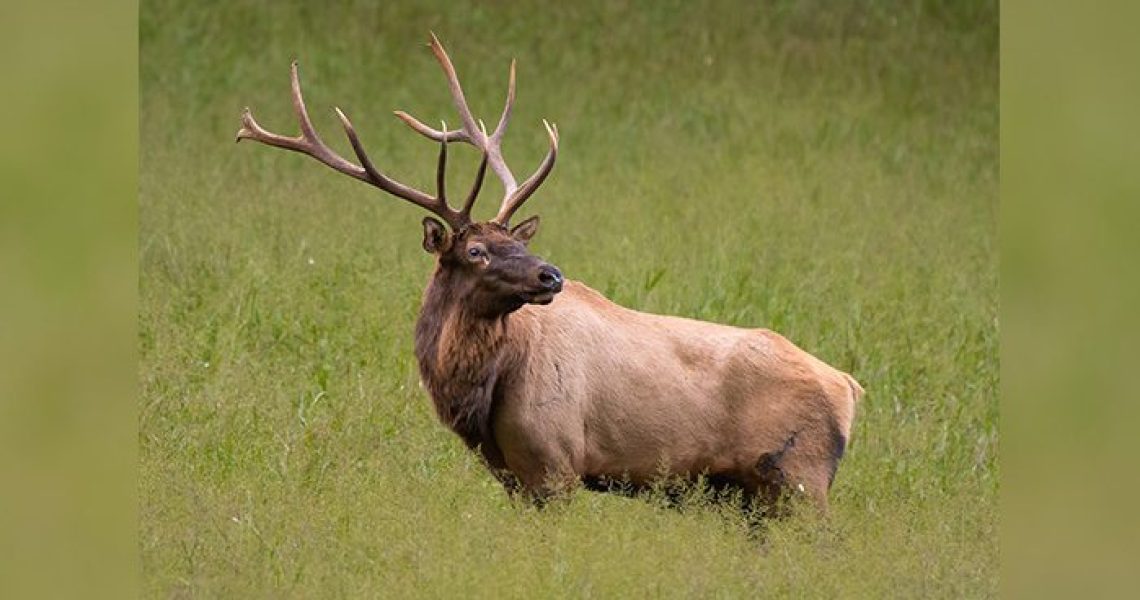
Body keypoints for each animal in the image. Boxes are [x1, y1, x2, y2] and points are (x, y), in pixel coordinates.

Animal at [237, 34, 863, 514]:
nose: (551, 276)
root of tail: (850, 388)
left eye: (517, 240)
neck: (480, 391)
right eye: (477, 251)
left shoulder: (555, 462)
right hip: (755, 496)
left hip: (800, 478)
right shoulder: (510, 473)